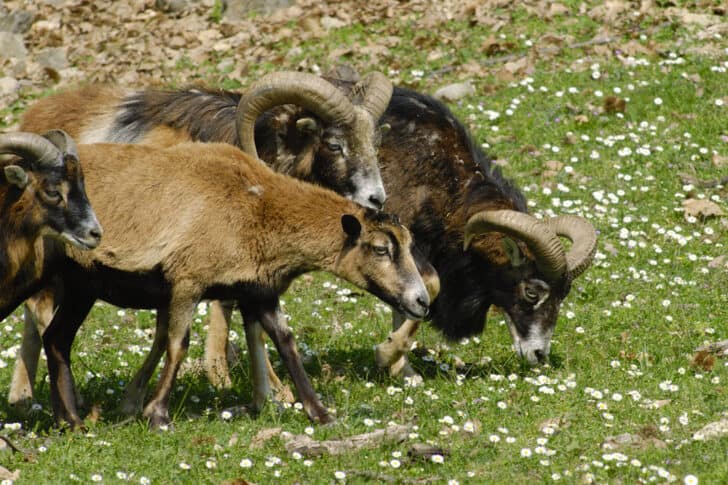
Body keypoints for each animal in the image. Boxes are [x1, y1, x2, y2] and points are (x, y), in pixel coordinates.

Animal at [33, 141, 430, 428]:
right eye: (380, 248)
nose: (422, 301)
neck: (260, 207)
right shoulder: (187, 279)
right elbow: (178, 344)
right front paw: (158, 415)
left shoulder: (259, 291)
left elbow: (287, 343)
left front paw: (320, 413)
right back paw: (70, 417)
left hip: (82, 286)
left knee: (55, 340)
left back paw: (67, 419)